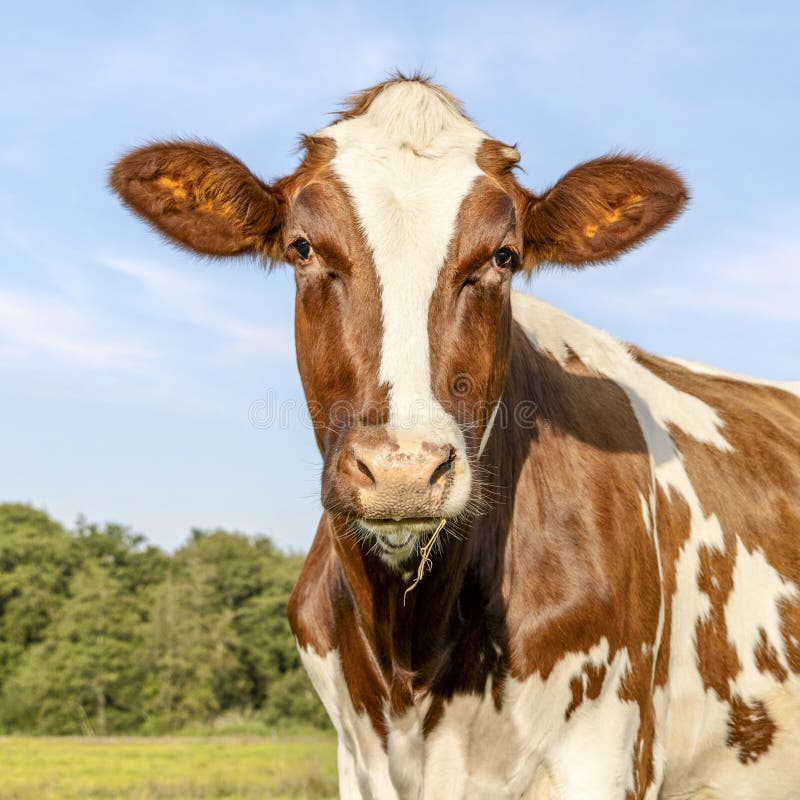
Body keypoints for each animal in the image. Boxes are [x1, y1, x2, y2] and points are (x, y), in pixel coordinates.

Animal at [110, 75, 800, 799]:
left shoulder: (608, 749)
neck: (411, 658)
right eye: (303, 248)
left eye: (504, 256)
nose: (404, 469)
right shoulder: (357, 760)